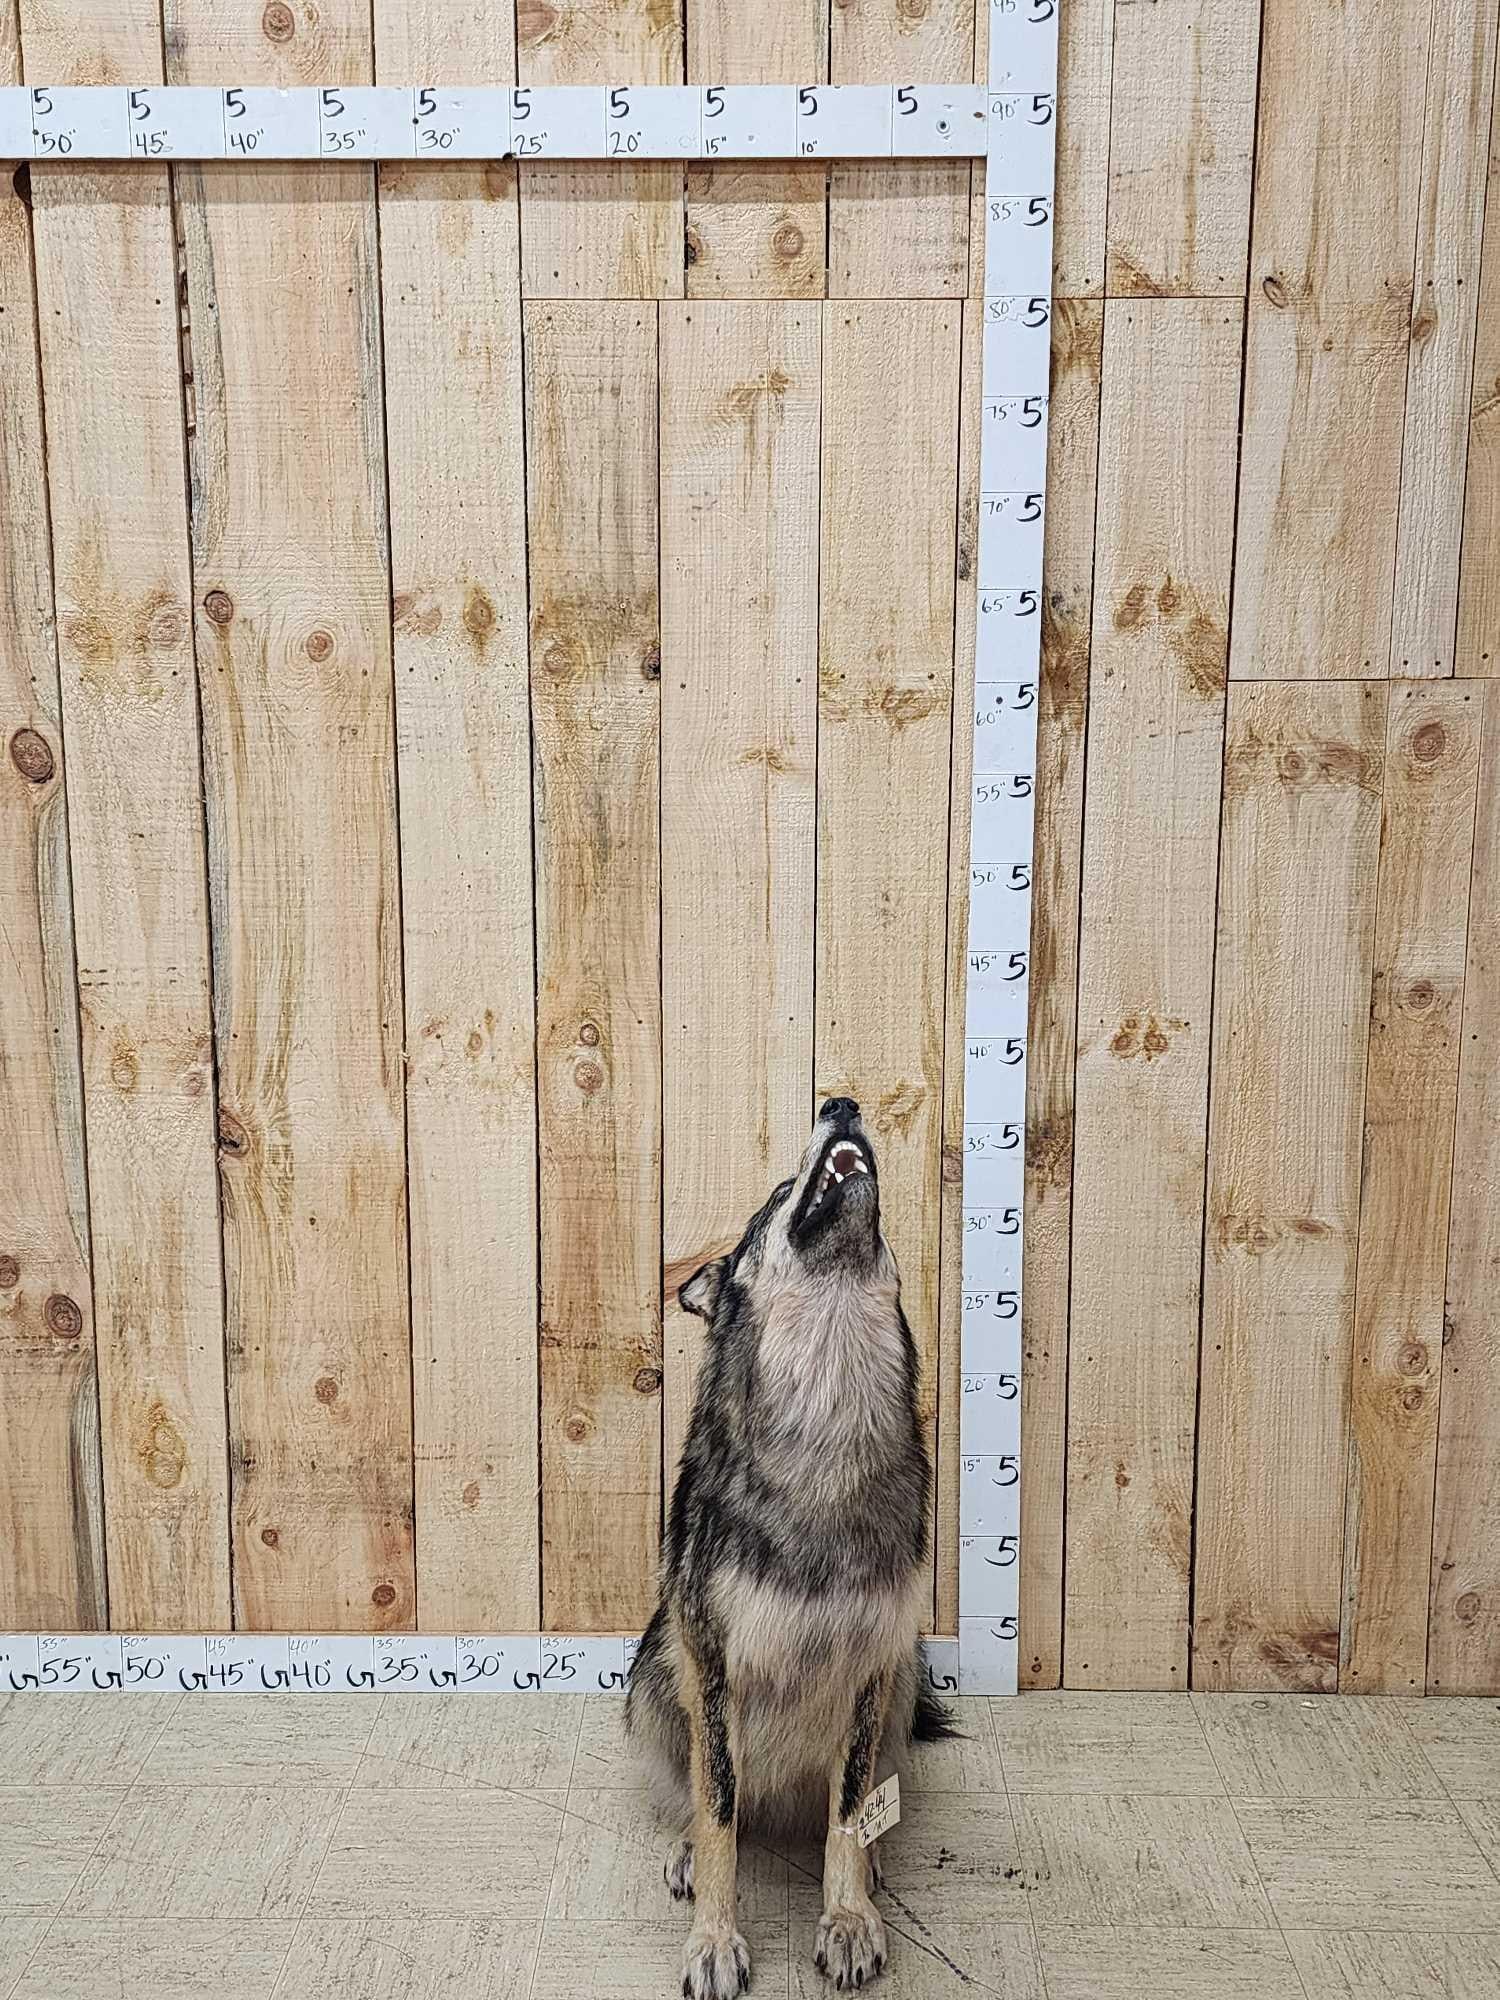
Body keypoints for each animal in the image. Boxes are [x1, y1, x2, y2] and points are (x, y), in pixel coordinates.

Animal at [626, 1097, 955, 1998]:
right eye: (779, 1192)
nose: (839, 1102)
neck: (825, 1444)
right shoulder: (711, 1661)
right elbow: (717, 1811)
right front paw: (713, 1940)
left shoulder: (872, 1661)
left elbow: (848, 1813)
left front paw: (849, 1920)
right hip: (655, 1669)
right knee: (705, 1799)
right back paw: (686, 1855)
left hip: (908, 1675)